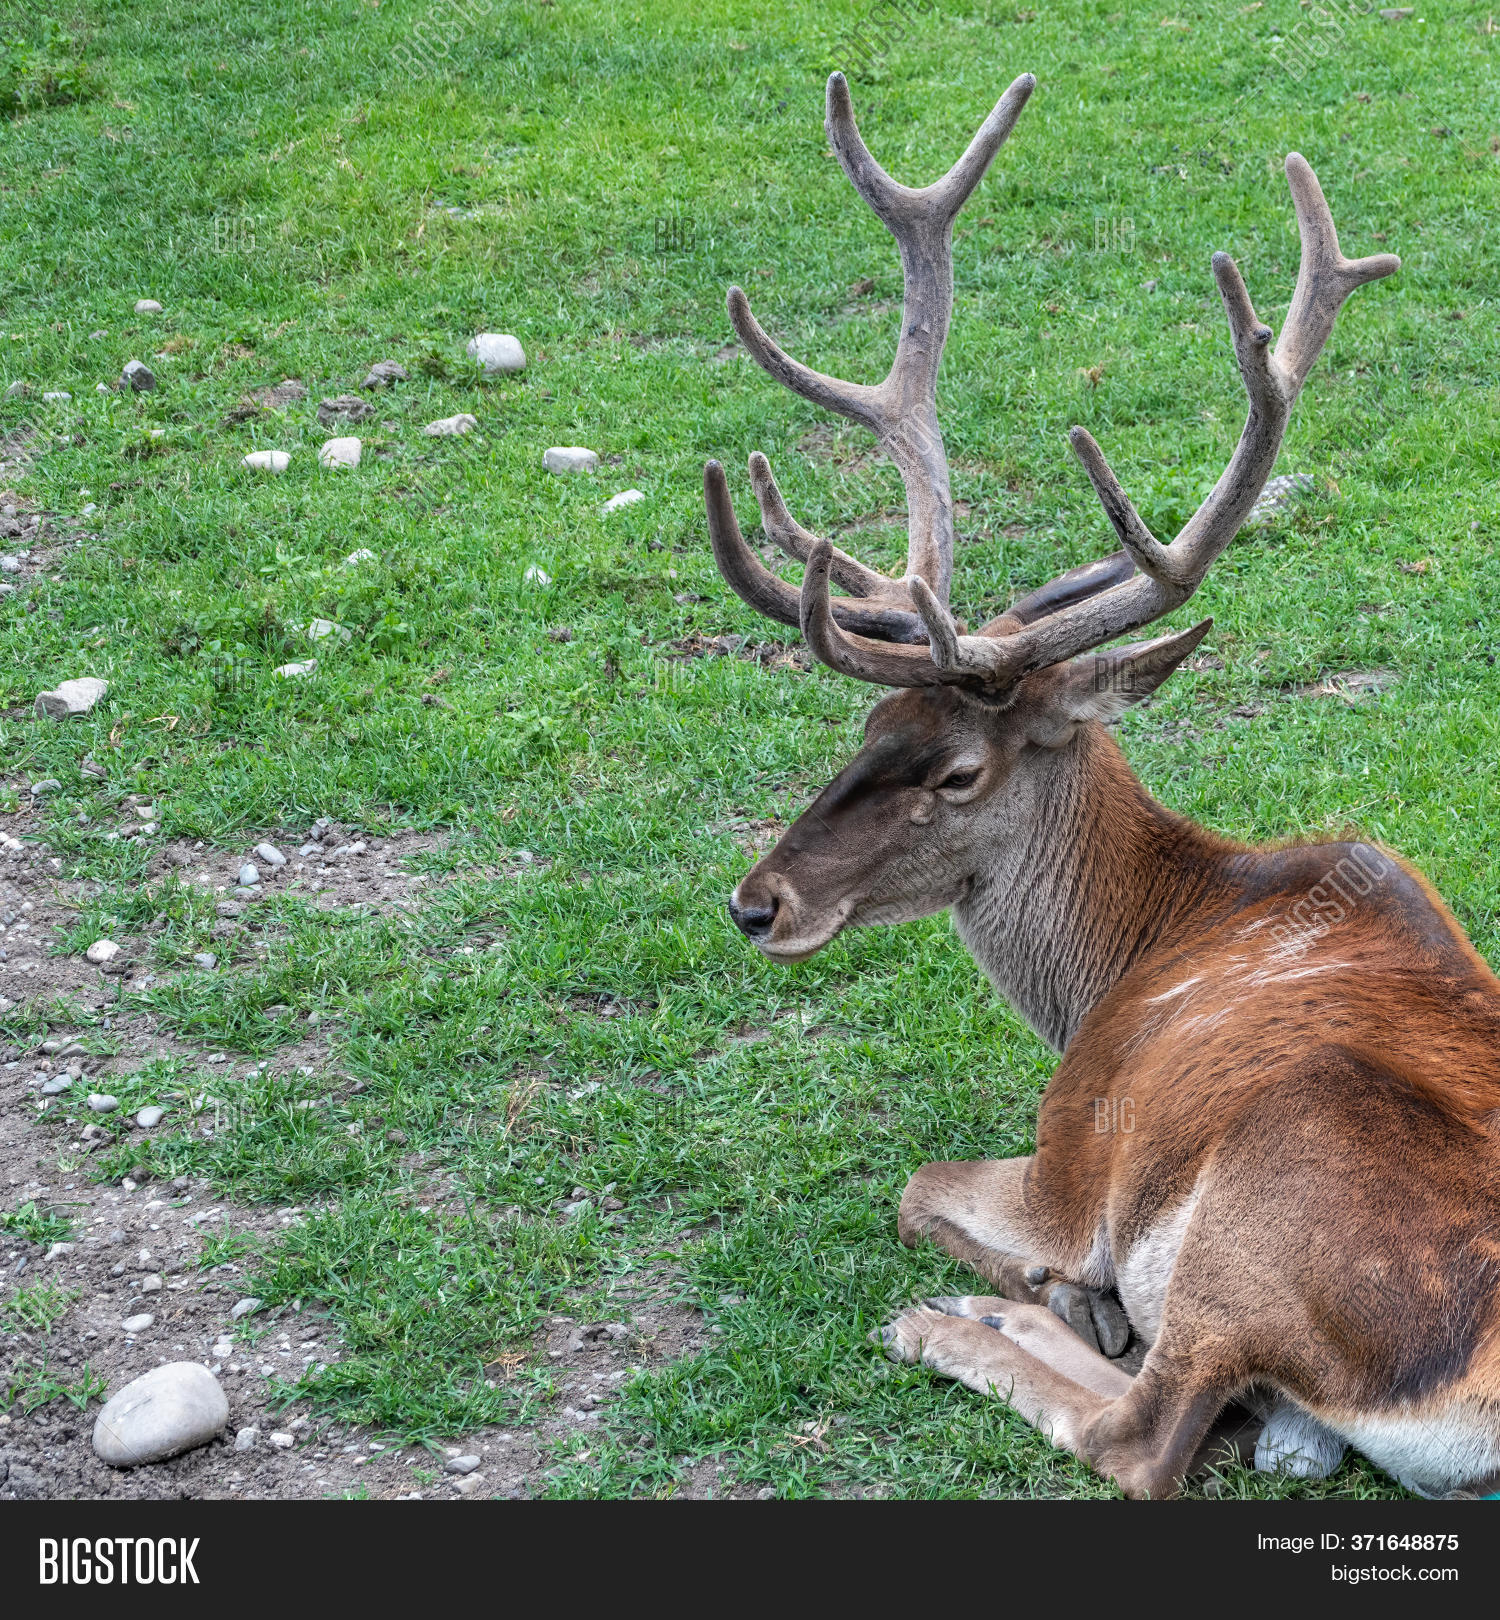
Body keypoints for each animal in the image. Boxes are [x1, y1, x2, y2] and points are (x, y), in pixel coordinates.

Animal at [703, 69, 1500, 1500]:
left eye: (960, 769)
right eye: (869, 719)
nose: (759, 901)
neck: (1108, 964)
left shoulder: (1074, 1156)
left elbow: (917, 1186)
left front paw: (1042, 1288)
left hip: (1264, 1198)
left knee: (1148, 1433)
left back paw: (971, 1320)